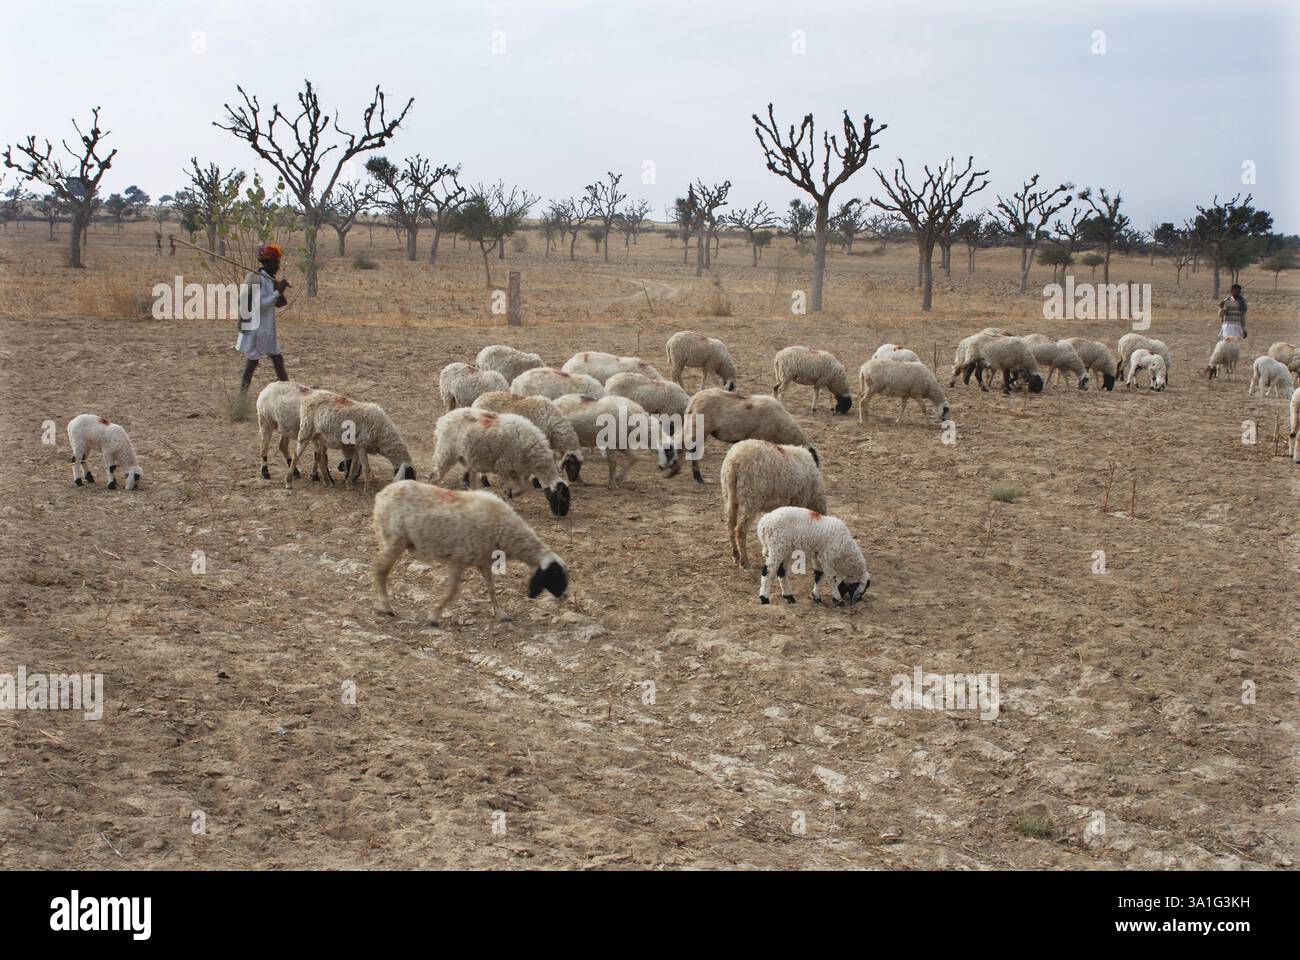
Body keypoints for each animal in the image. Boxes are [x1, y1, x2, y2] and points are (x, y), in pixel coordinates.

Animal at [287, 392, 417, 490]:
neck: (383, 435)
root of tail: (308, 398)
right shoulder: (362, 445)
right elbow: (366, 468)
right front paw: (367, 489)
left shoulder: (357, 446)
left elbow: (354, 466)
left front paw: (349, 484)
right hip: (306, 431)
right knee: (296, 456)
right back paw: (288, 482)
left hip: (322, 437)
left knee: (320, 457)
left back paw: (328, 482)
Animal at [371, 480, 568, 627]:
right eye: (556, 575)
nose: (565, 596)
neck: (507, 531)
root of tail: (381, 495)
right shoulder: (459, 558)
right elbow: (453, 591)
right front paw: (434, 616)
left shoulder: (483, 561)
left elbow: (491, 588)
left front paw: (500, 614)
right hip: (395, 539)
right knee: (380, 569)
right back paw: (386, 607)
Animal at [431, 408, 571, 516]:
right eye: (562, 497)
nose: (562, 514)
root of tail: (443, 419)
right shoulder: (503, 466)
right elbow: (509, 488)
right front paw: (507, 500)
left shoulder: (518, 471)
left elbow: (523, 488)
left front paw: (514, 494)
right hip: (446, 452)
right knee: (435, 474)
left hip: (467, 458)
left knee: (470, 479)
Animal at [720, 440, 827, 570]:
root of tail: (734, 460)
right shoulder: (799, 500)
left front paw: (767, 551)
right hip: (750, 499)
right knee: (740, 530)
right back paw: (745, 562)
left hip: (729, 496)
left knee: (730, 525)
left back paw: (735, 555)